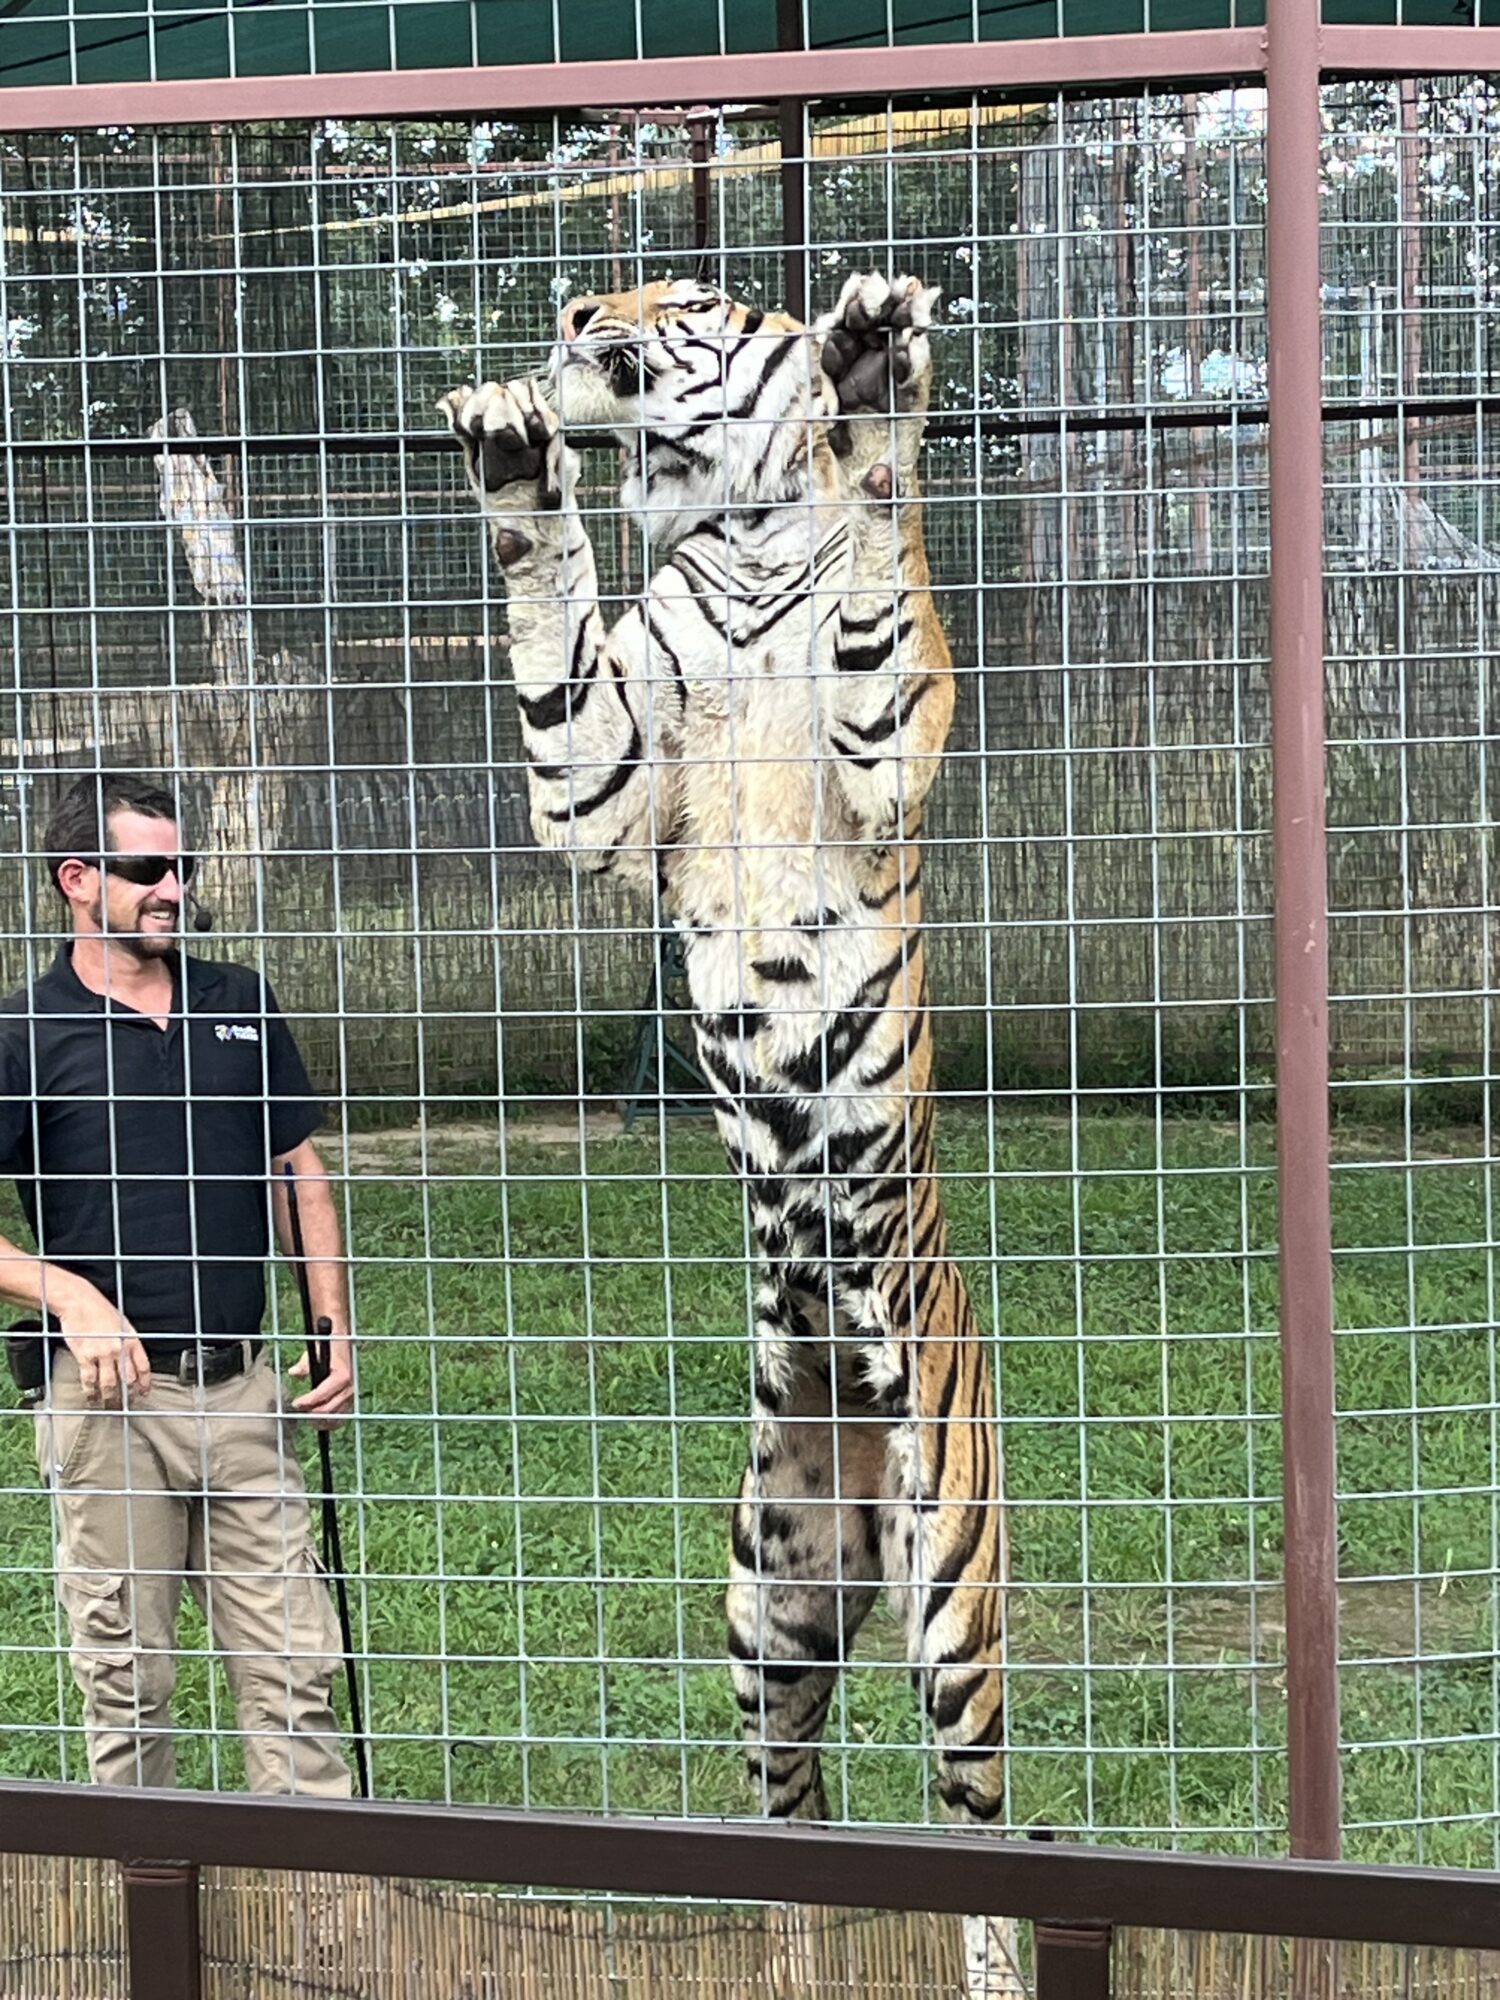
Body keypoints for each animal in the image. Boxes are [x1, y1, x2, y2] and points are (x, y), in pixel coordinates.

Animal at [443, 271, 1022, 1997]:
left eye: (688, 297)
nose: (581, 304)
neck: (747, 541)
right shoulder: (607, 789)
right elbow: (560, 660)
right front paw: (514, 452)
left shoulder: (886, 752)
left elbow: (876, 588)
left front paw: (877, 372)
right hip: (766, 1609)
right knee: (797, 1816)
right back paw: (790, 1950)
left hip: (954, 1613)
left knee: (986, 1833)